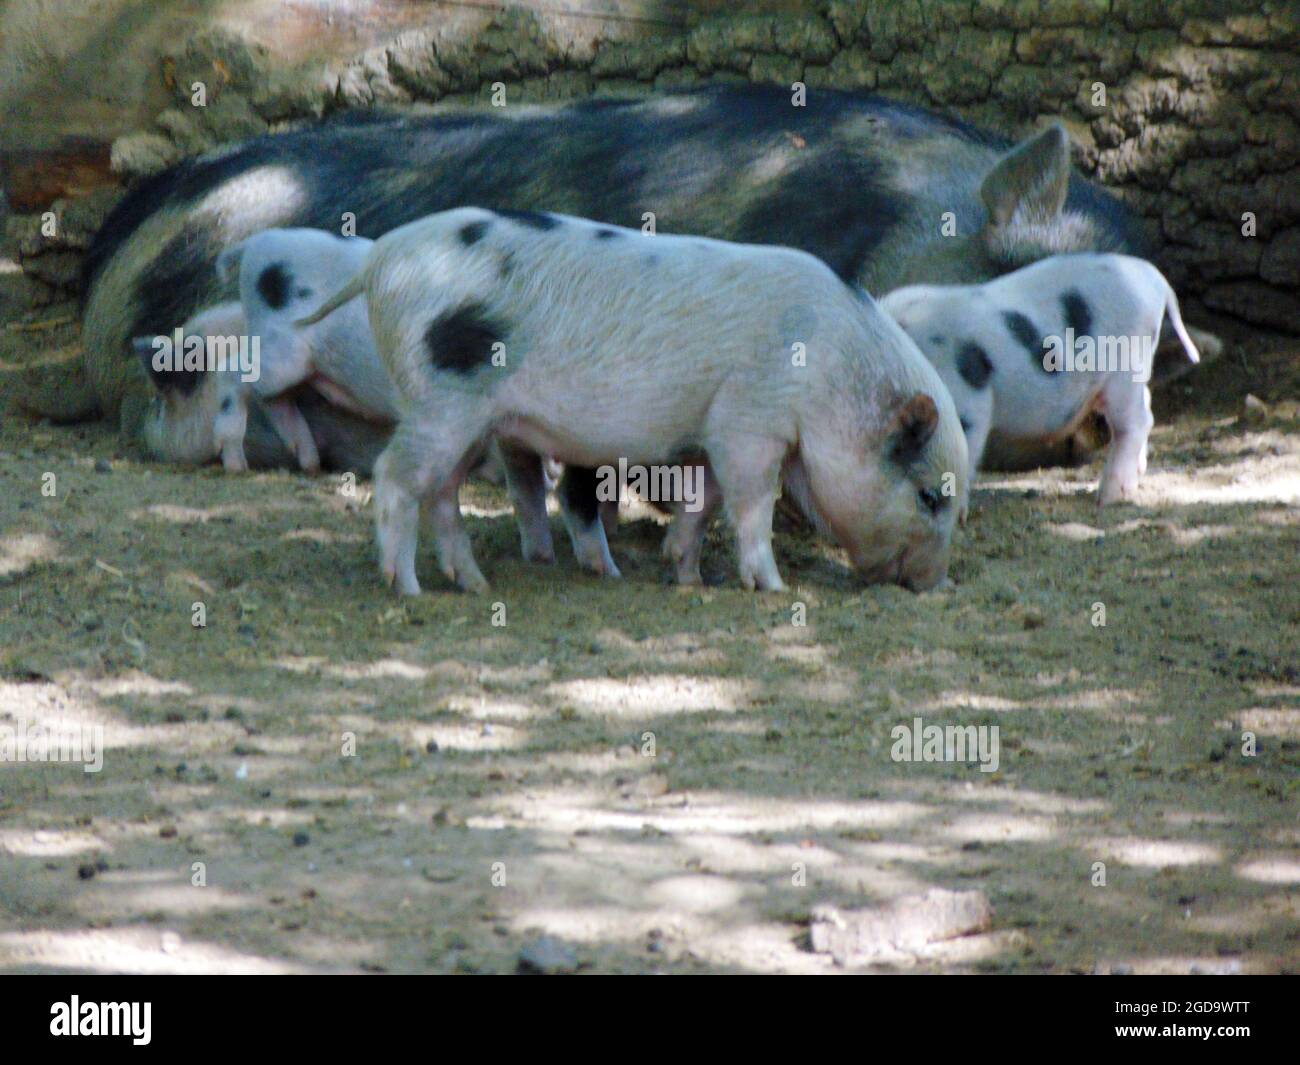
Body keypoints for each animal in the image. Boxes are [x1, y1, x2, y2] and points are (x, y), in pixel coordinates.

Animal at [297, 207, 969, 594]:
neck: (830, 370)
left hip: (469, 418)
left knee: (441, 491)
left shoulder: (713, 430)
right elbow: (753, 503)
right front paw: (773, 590)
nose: (935, 587)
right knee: (393, 475)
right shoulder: (750, 421)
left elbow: (706, 501)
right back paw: (406, 588)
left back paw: (476, 586)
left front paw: (686, 574)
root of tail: (379, 260)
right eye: (929, 497)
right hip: (441, 399)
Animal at [878, 253, 1200, 507]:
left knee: (1134, 423)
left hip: (1126, 367)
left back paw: (1110, 496)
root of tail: (1152, 276)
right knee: (1146, 408)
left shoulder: (967, 398)